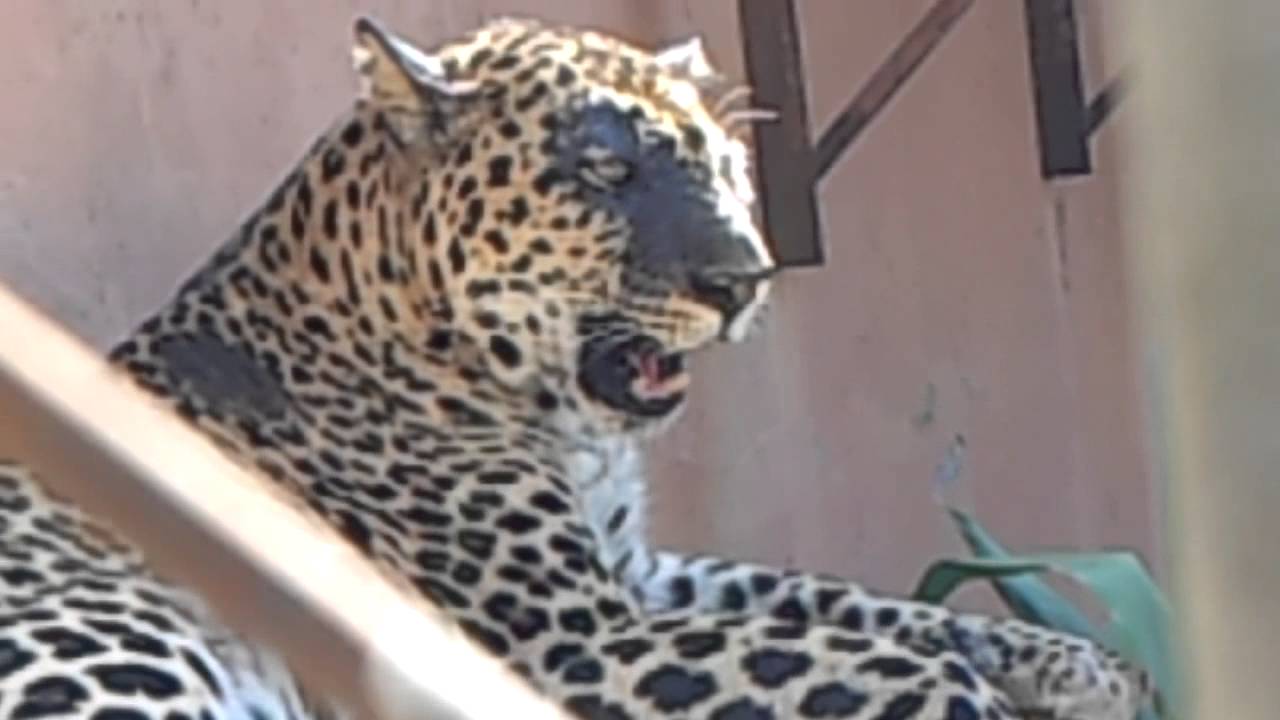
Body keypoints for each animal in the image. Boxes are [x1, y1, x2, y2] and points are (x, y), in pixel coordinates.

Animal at [0, 15, 1154, 720]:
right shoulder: (564, 637)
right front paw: (982, 687)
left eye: (722, 165)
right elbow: (873, 650)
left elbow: (865, 604)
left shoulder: (636, 573)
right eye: (605, 171)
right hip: (129, 629)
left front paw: (1090, 670)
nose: (743, 277)